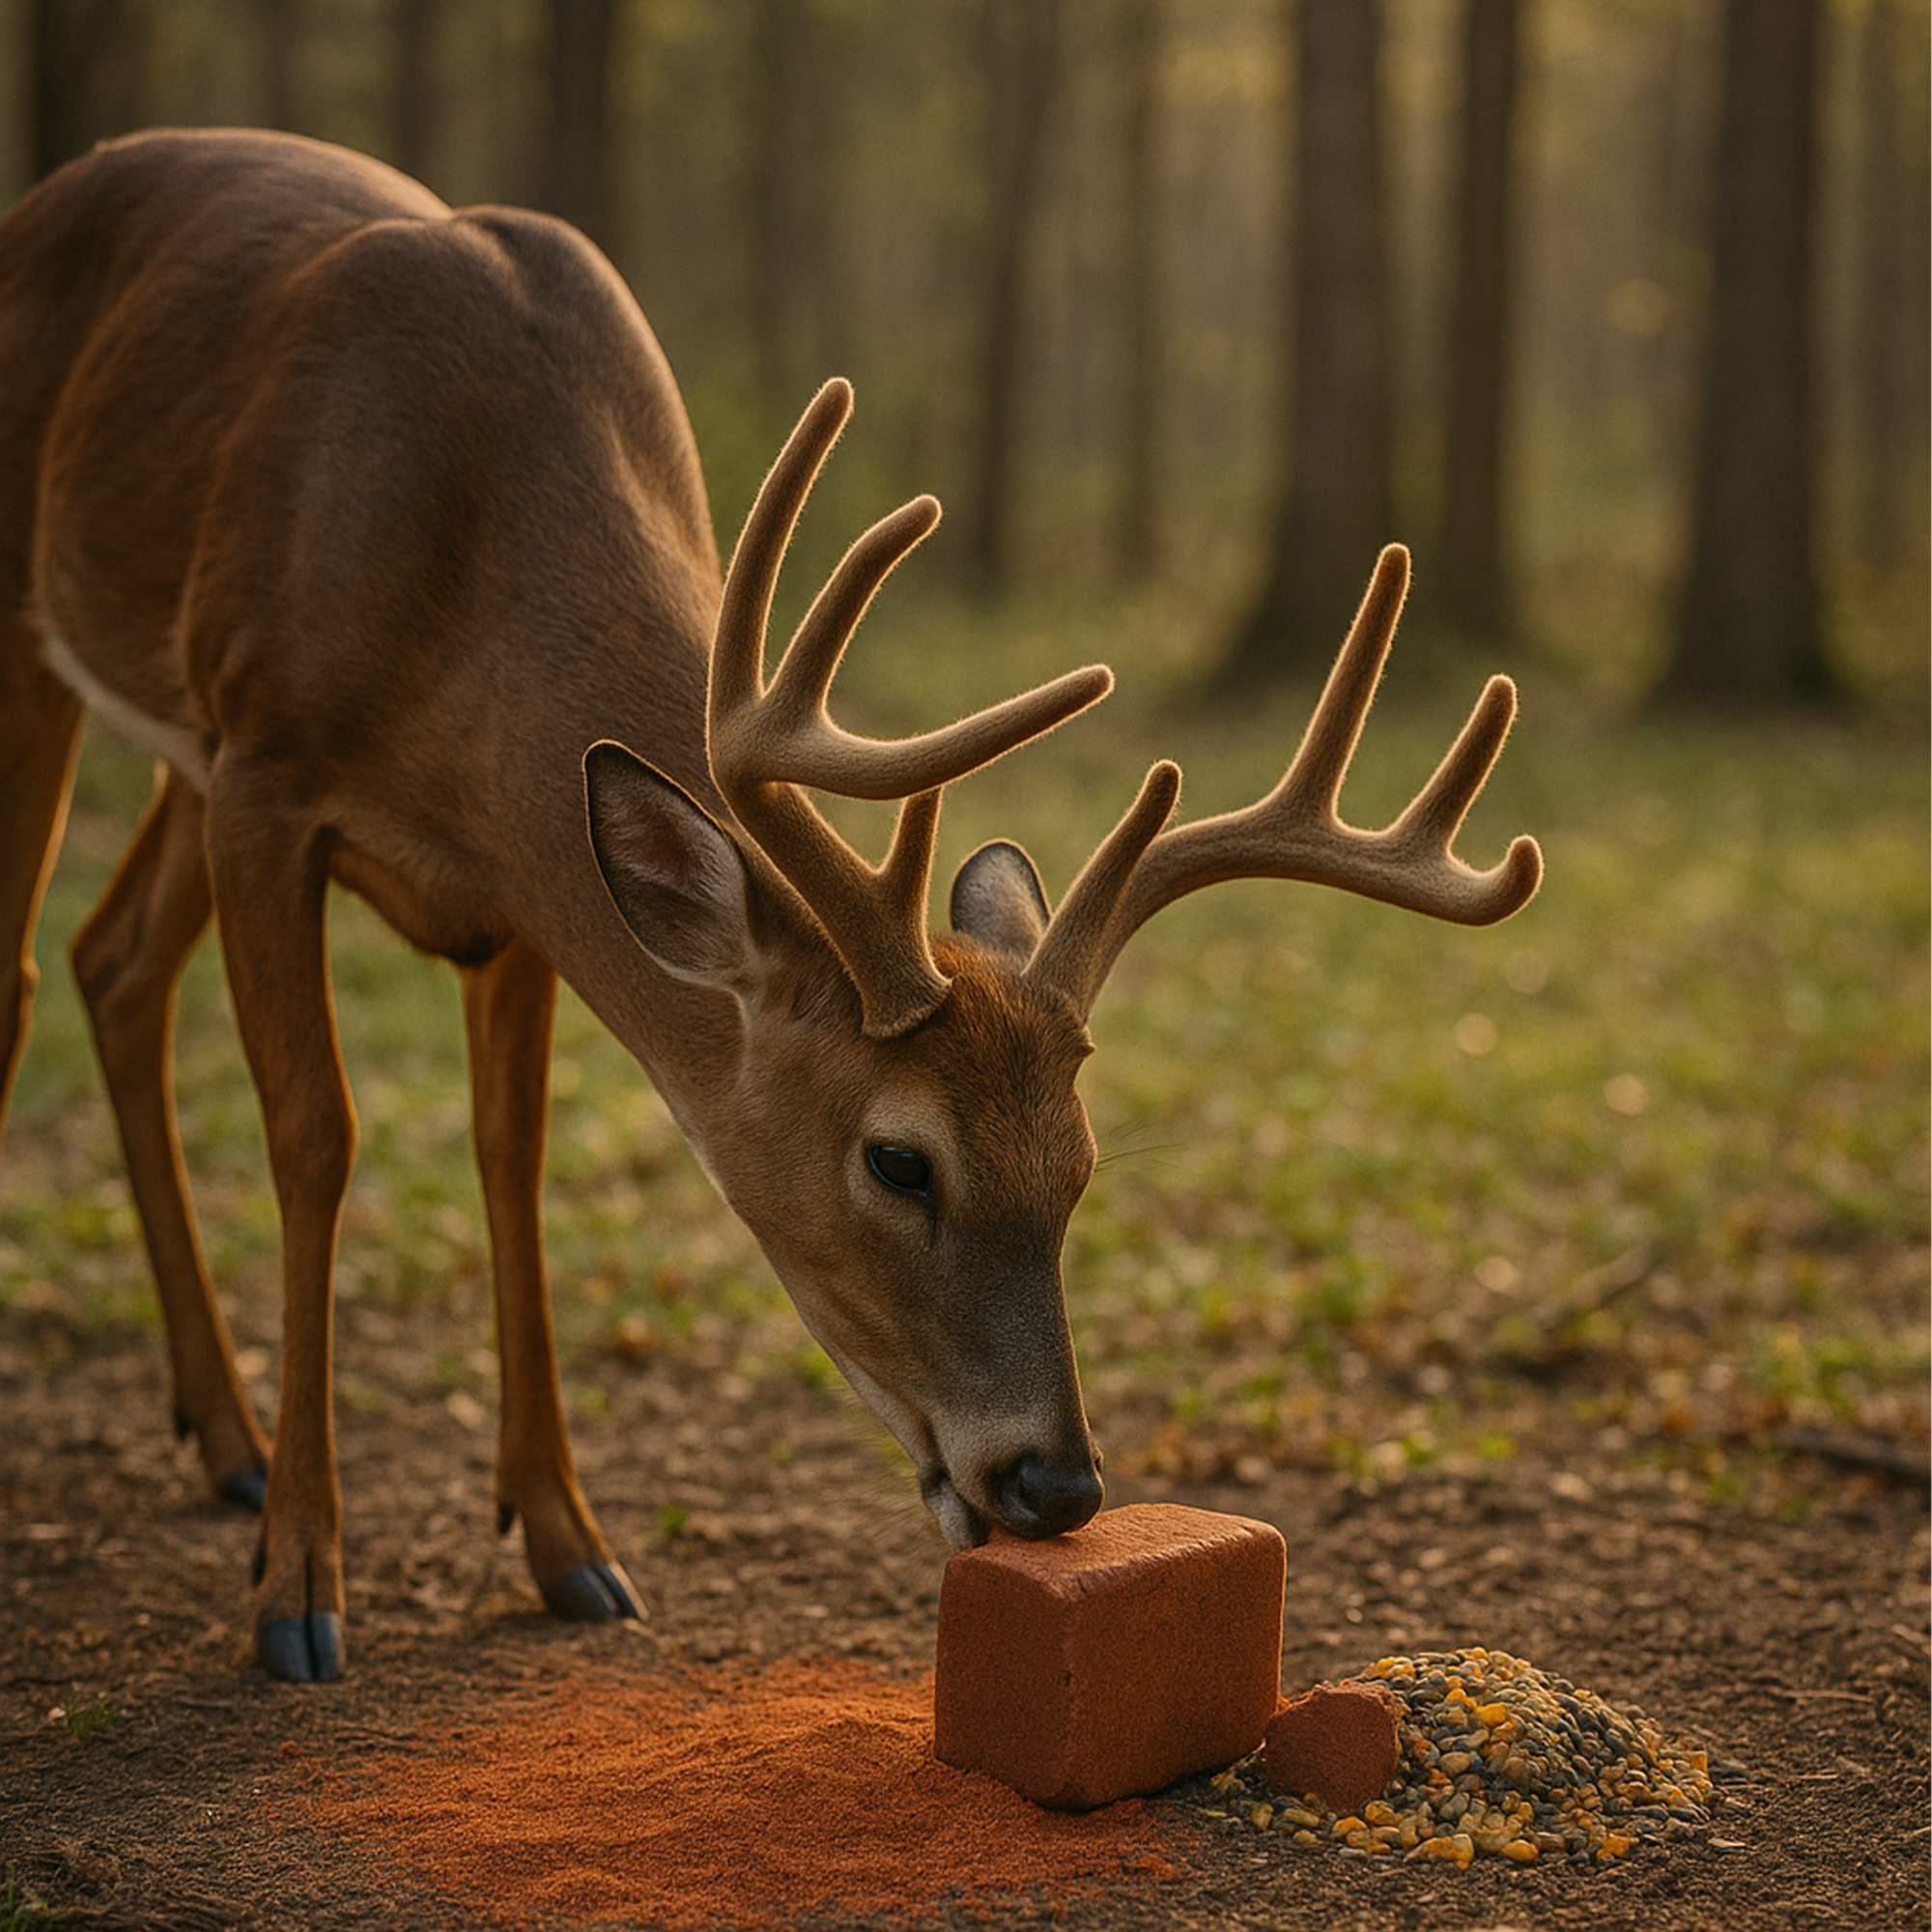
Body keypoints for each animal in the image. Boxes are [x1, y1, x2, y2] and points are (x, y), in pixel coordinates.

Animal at [0, 130, 1541, 1683]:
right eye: (900, 1161)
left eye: (1080, 1164)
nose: (1055, 1484)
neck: (461, 581)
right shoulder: (265, 771)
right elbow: (315, 1134)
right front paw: (301, 1590)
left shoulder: (512, 873)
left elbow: (513, 1158)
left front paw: (567, 1543)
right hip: (78, 663)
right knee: (31, 973)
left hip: (175, 754)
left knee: (112, 962)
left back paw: (226, 1438)